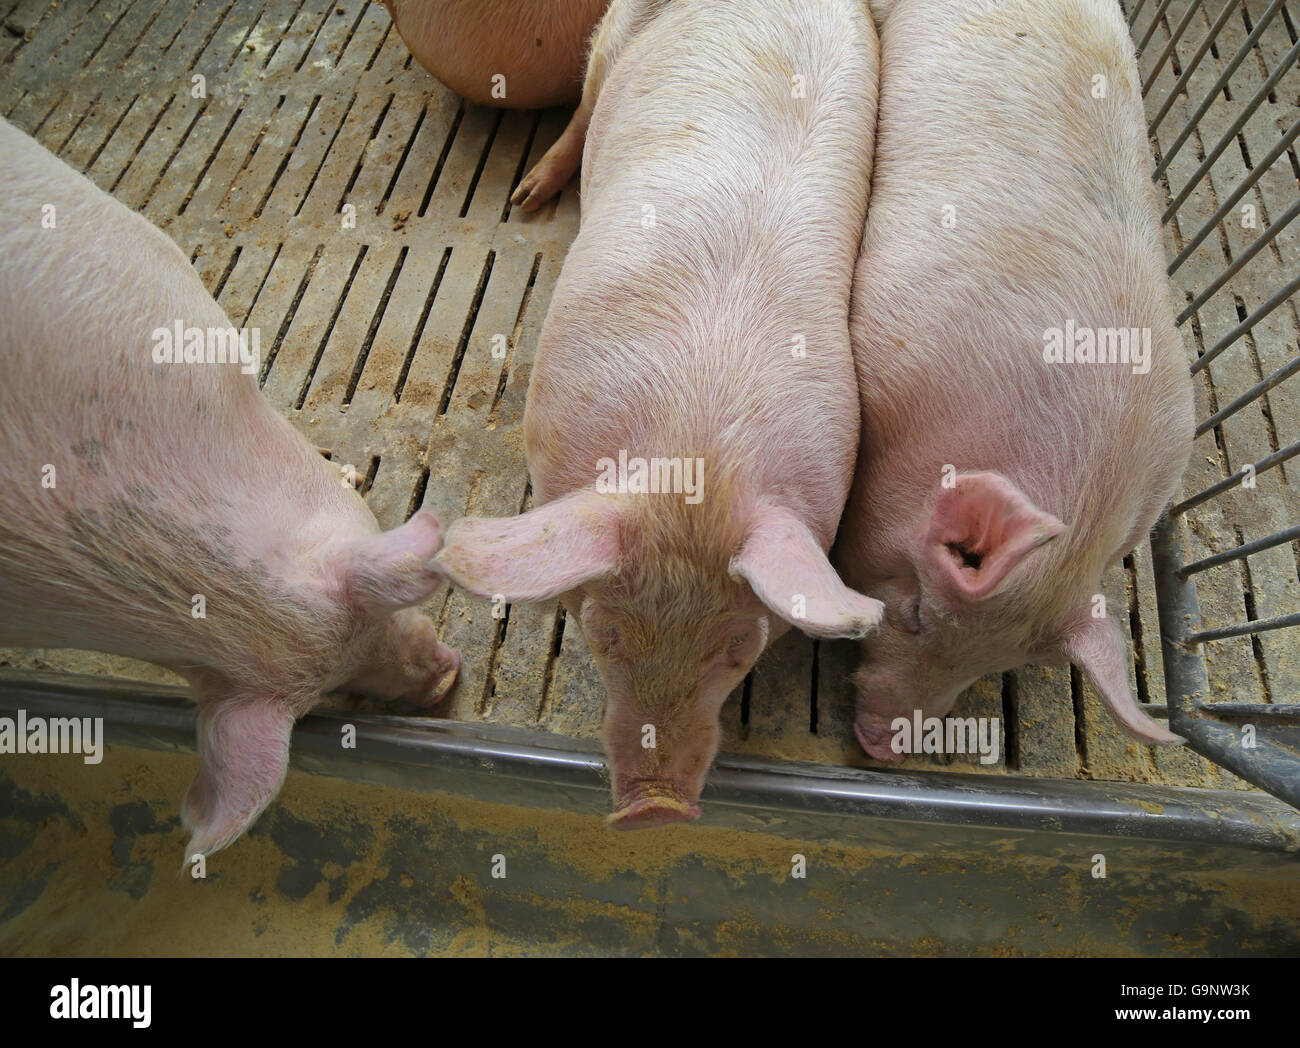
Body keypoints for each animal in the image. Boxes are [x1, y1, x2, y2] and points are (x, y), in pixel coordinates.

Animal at [435, 0, 884, 827]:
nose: (656, 809)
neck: (696, 461)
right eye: (602, 632)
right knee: (583, 104)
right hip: (612, 39)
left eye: (741, 649)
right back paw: (528, 198)